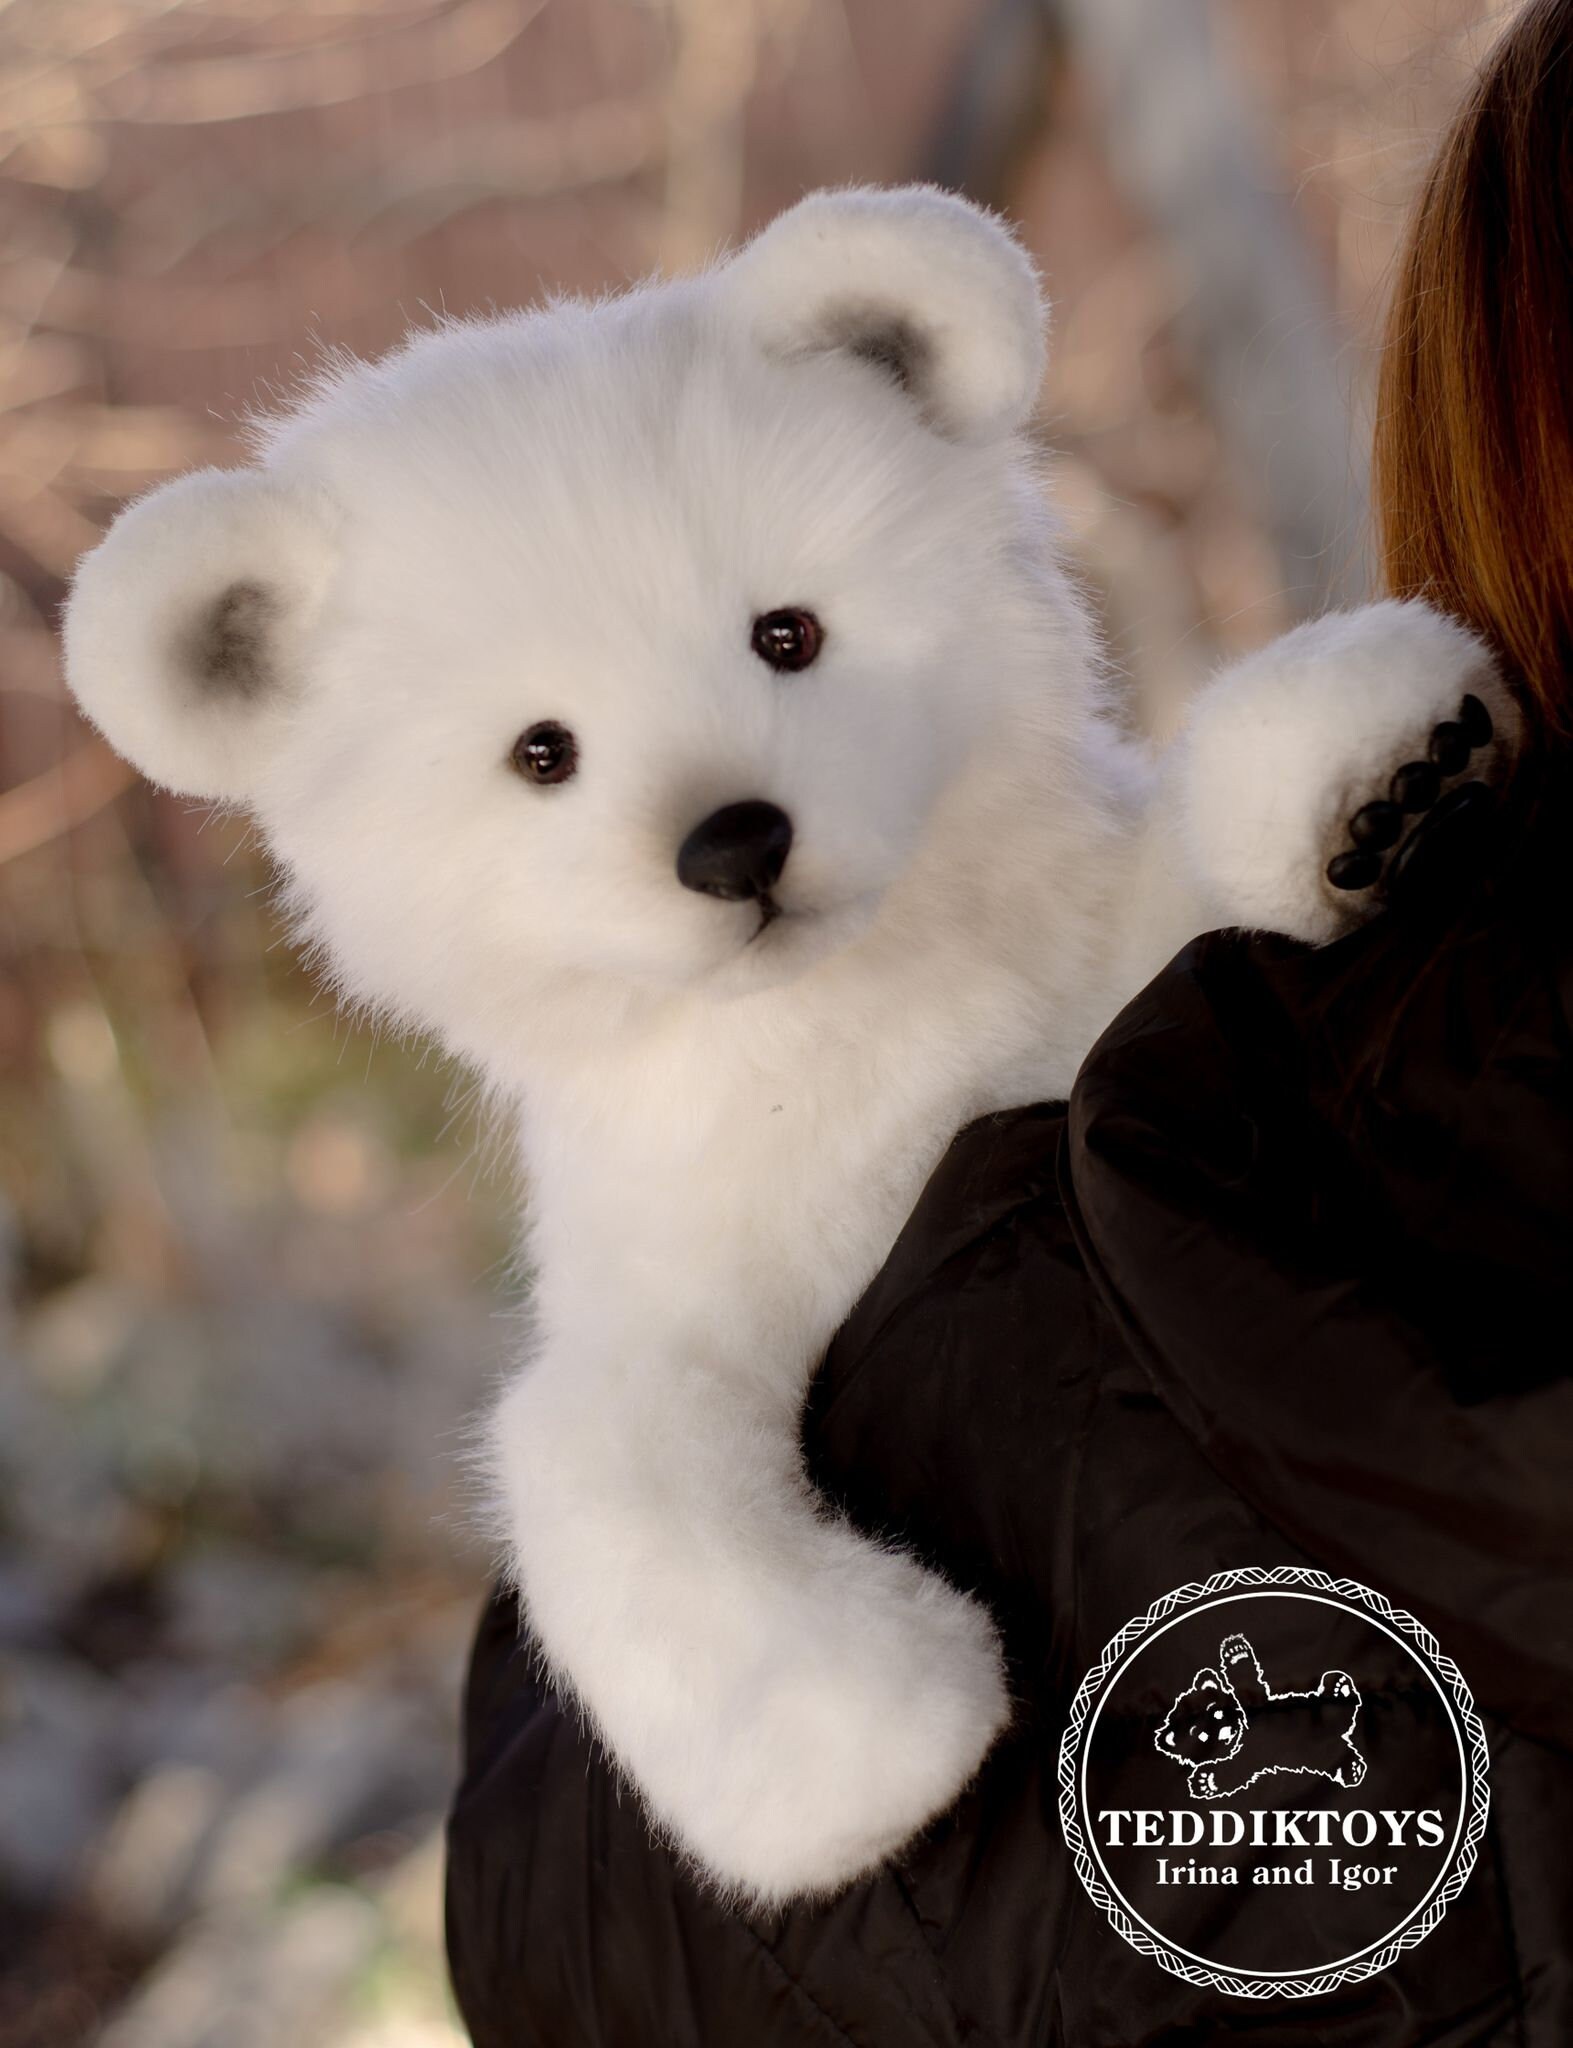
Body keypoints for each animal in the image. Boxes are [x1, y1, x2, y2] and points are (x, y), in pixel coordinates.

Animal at [1156, 1632, 1366, 1799]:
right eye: (1201, 1735)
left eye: (1217, 1712)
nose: (1226, 1731)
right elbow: (1235, 1768)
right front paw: (1207, 1781)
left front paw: (1236, 1652)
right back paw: (1352, 1768)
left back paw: (1340, 1687)